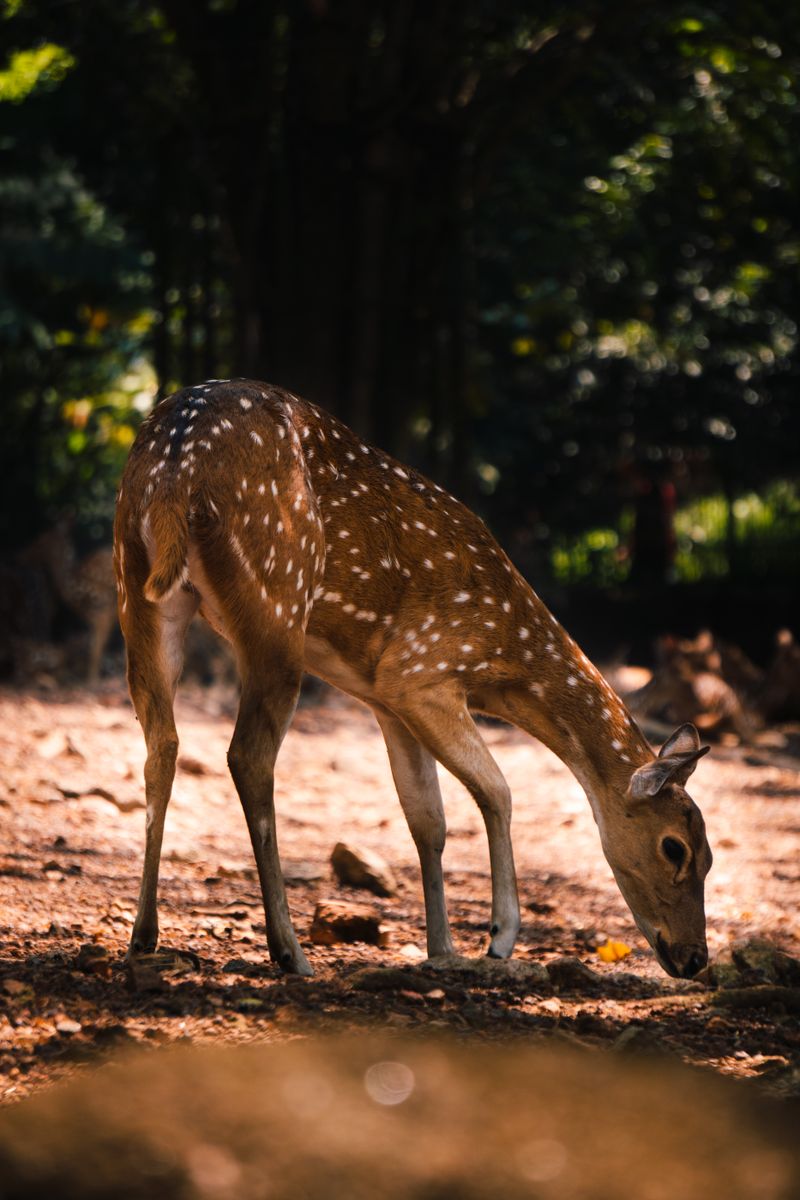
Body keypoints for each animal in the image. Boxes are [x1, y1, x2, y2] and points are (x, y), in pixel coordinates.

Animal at [114, 379, 713, 979]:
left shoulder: (385, 699)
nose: (695, 959)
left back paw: (144, 935)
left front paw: (442, 948)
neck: (504, 659)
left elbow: (428, 819)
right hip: (277, 601)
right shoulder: (420, 673)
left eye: (710, 856)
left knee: (162, 747)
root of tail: (176, 469)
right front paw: (499, 938)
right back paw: (290, 951)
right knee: (248, 756)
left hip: (137, 585)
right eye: (675, 848)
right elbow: (497, 789)